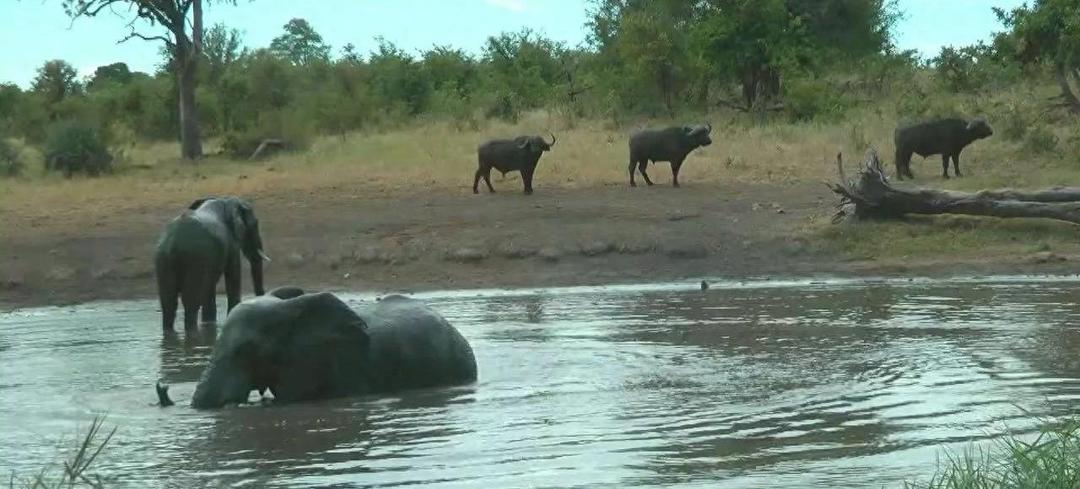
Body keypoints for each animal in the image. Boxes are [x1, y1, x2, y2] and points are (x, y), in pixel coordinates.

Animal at [154, 196, 269, 332]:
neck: (226, 199)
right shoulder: (231, 243)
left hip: (163, 259)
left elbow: (209, 288)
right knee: (190, 302)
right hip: (195, 258)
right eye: (255, 224)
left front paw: (210, 324)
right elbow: (233, 276)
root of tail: (173, 242)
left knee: (169, 302)